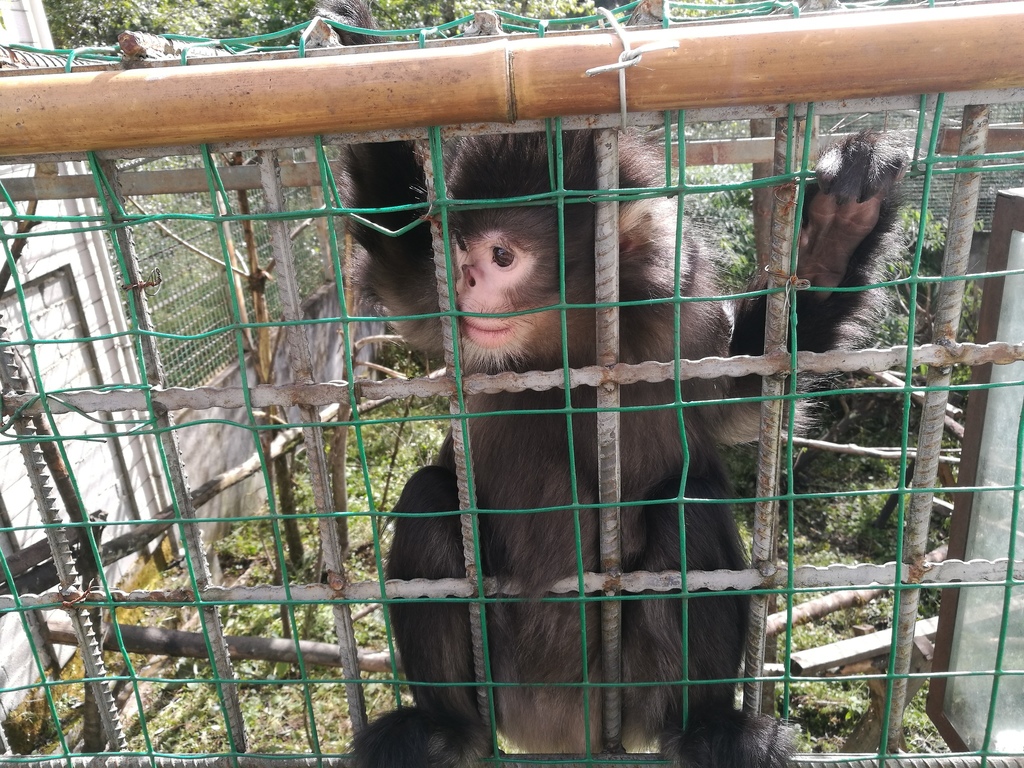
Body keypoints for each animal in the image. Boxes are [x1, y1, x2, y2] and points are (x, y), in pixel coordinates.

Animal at [319, 3, 907, 766]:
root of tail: (562, 725)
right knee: (428, 498)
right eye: (462, 252)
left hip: (631, 687)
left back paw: (706, 726)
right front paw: (360, 46)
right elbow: (397, 269)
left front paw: (836, 234)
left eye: (501, 255)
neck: (565, 348)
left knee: (690, 508)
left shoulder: (681, 328)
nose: (469, 283)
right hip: (505, 683)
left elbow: (753, 395)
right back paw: (445, 730)